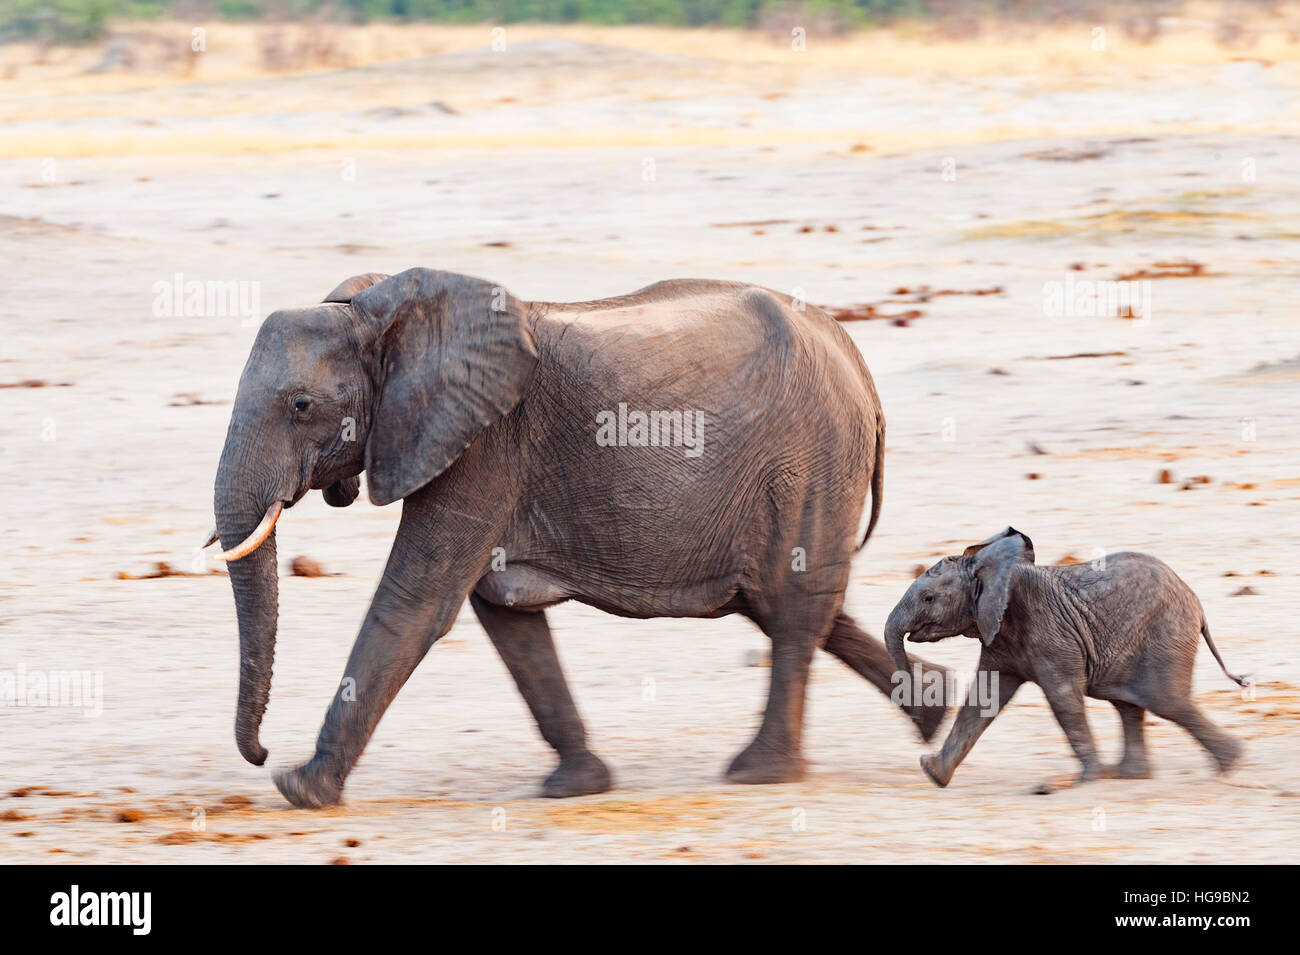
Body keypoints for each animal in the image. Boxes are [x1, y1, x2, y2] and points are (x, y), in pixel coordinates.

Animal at [205, 267, 951, 808]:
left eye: (301, 406)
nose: (262, 753)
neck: (377, 313)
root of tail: (857, 364)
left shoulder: (484, 445)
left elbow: (415, 603)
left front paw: (301, 789)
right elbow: (505, 615)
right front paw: (577, 786)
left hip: (809, 460)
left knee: (791, 607)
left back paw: (759, 773)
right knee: (789, 604)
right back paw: (933, 711)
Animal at [884, 527, 1247, 794]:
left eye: (928, 598)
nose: (917, 714)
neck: (989, 566)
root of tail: (1198, 606)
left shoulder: (1048, 632)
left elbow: (1063, 699)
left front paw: (1087, 780)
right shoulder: (998, 634)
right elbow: (983, 700)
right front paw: (932, 772)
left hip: (1165, 632)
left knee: (1166, 701)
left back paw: (1231, 763)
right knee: (1129, 706)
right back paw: (1127, 775)